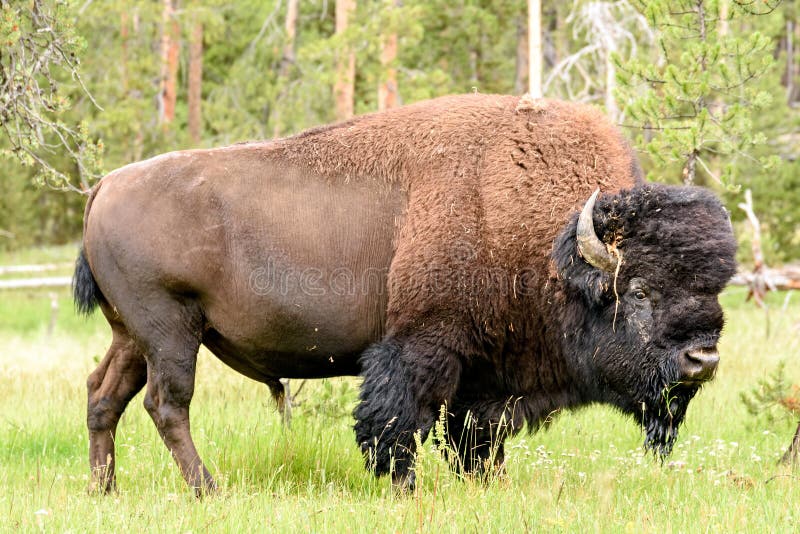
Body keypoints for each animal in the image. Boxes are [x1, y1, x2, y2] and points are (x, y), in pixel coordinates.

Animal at [73, 94, 736, 493]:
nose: (703, 360)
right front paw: (403, 487)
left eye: (716, 288)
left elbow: (475, 438)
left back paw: (105, 490)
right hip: (170, 331)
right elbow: (397, 425)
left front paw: (486, 486)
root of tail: (106, 184)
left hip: (132, 334)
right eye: (640, 290)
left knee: (105, 394)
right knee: (168, 403)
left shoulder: (484, 373)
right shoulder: (423, 345)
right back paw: (208, 491)